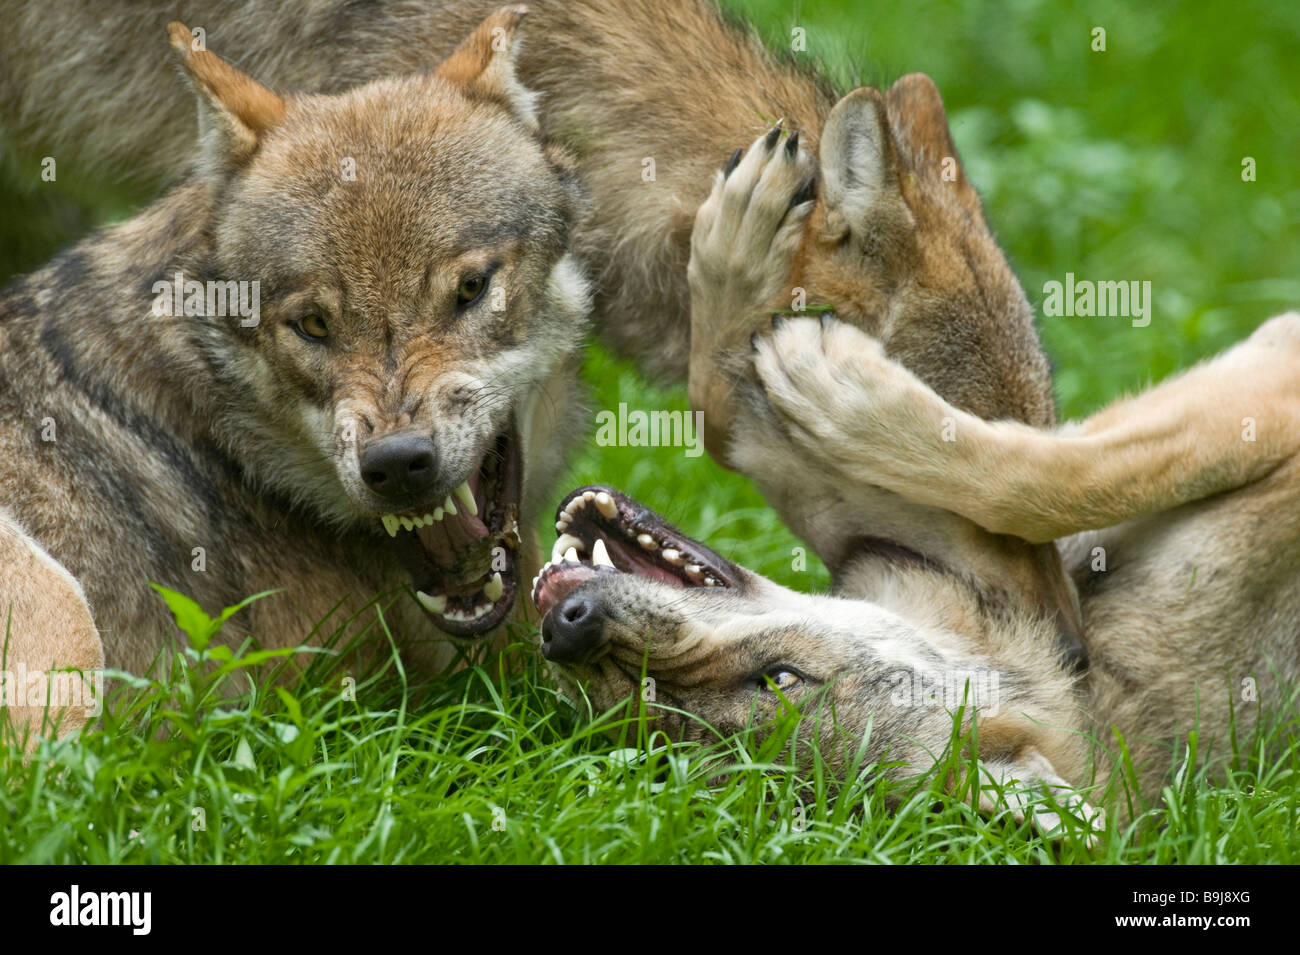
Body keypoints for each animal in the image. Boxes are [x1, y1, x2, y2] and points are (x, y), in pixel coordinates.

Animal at [531, 130, 1300, 832]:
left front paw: (831, 378)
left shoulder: (1267, 382)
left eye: (780, 678)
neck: (1082, 664)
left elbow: (1047, 478)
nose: (571, 626)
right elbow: (723, 413)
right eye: (646, 733)